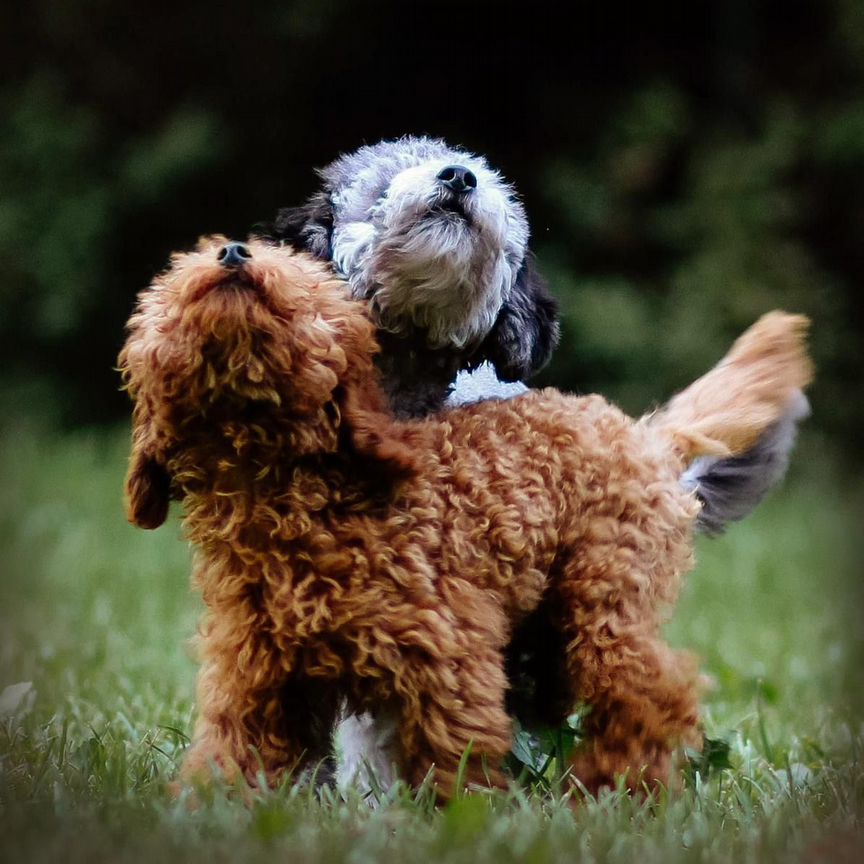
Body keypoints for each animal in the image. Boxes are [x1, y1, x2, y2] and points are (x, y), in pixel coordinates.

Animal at [118, 236, 812, 796]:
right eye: (168, 289)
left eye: (303, 278)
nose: (233, 251)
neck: (289, 491)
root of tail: (646, 436)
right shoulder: (256, 679)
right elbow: (233, 754)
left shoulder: (448, 657)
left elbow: (456, 758)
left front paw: (458, 820)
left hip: (607, 597)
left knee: (653, 691)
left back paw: (612, 790)